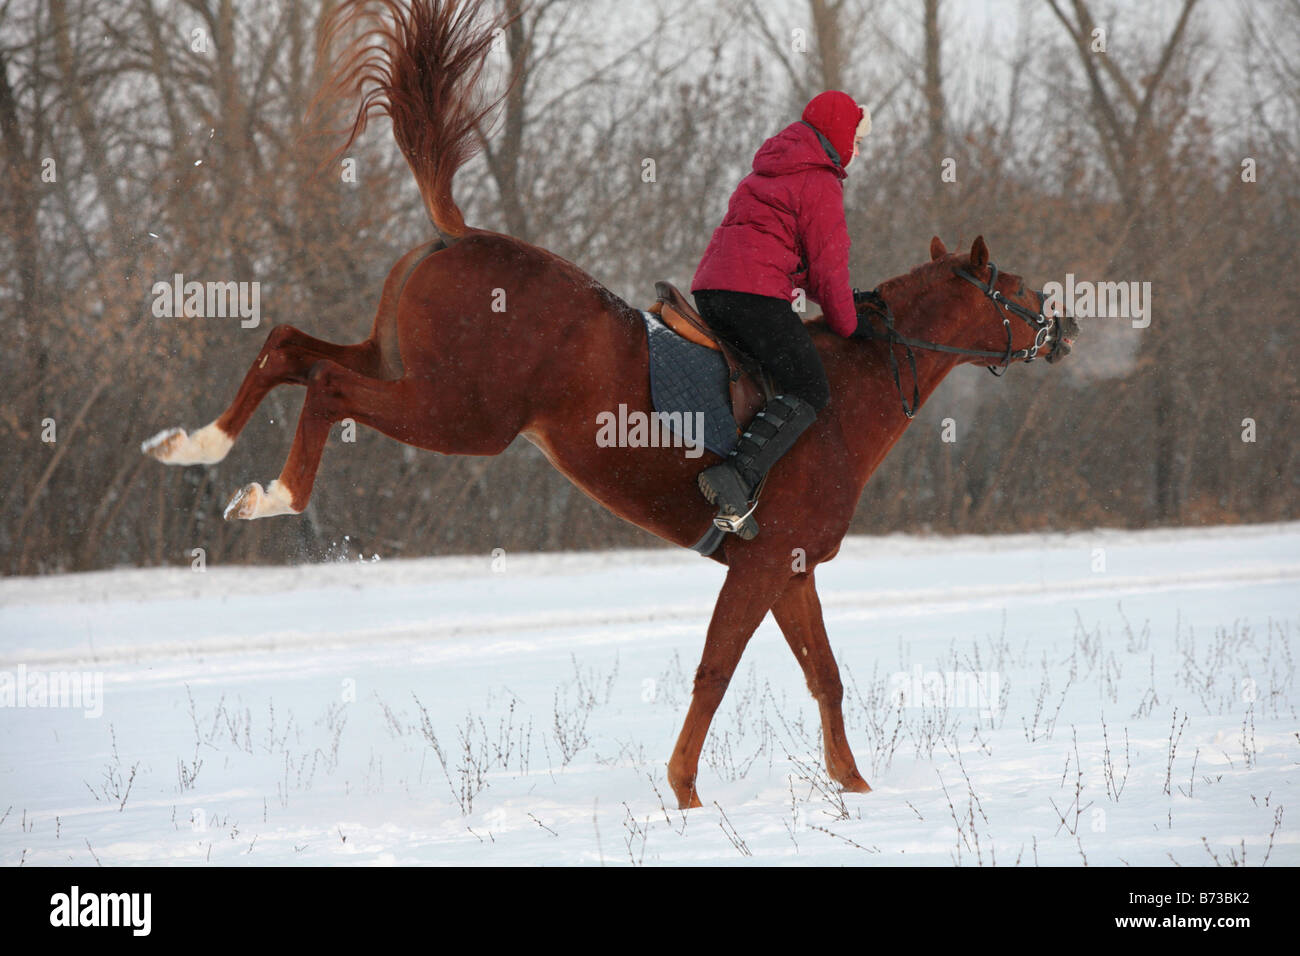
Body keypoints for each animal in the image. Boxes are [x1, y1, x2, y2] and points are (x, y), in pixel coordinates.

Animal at [141, 0, 1078, 809]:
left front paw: (852, 788)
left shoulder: (790, 569)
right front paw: (686, 793)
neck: (847, 394)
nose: (1063, 326)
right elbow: (716, 673)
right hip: (459, 415)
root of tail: (462, 233)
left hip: (402, 368)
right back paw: (273, 494)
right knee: (328, 388)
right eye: (1015, 286)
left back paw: (196, 448)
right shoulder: (763, 566)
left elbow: (825, 676)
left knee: (290, 348)